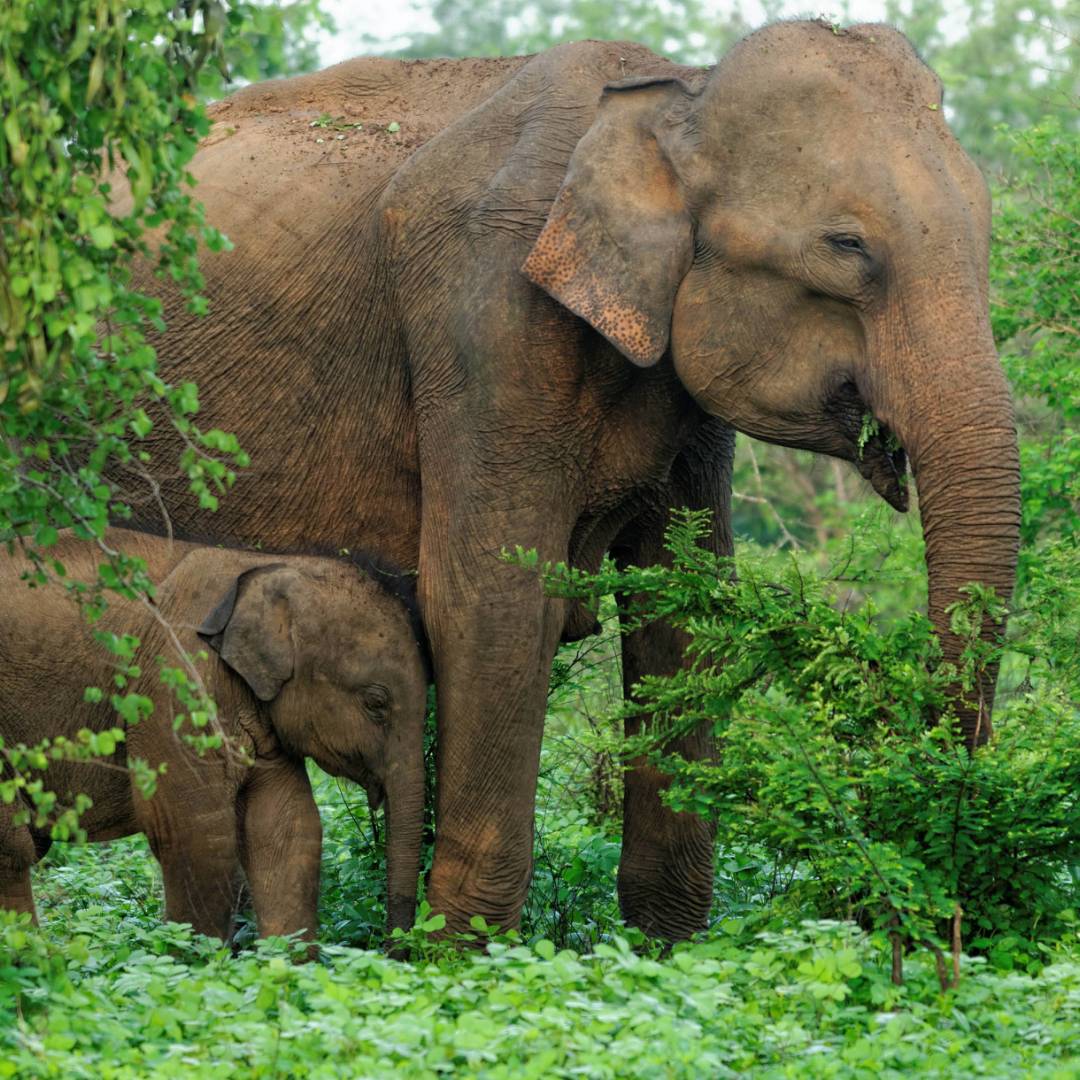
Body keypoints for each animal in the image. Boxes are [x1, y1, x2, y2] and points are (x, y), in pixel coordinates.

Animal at [0, 528, 429, 941]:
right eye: (376, 702)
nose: (395, 949)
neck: (271, 566)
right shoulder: (176, 684)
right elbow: (198, 833)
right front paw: (191, 960)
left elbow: (287, 829)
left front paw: (286, 963)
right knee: (14, 847)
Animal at [118, 20, 1020, 941]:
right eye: (848, 248)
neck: (677, 95)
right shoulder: (486, 317)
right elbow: (492, 605)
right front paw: (465, 961)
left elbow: (684, 614)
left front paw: (663, 952)